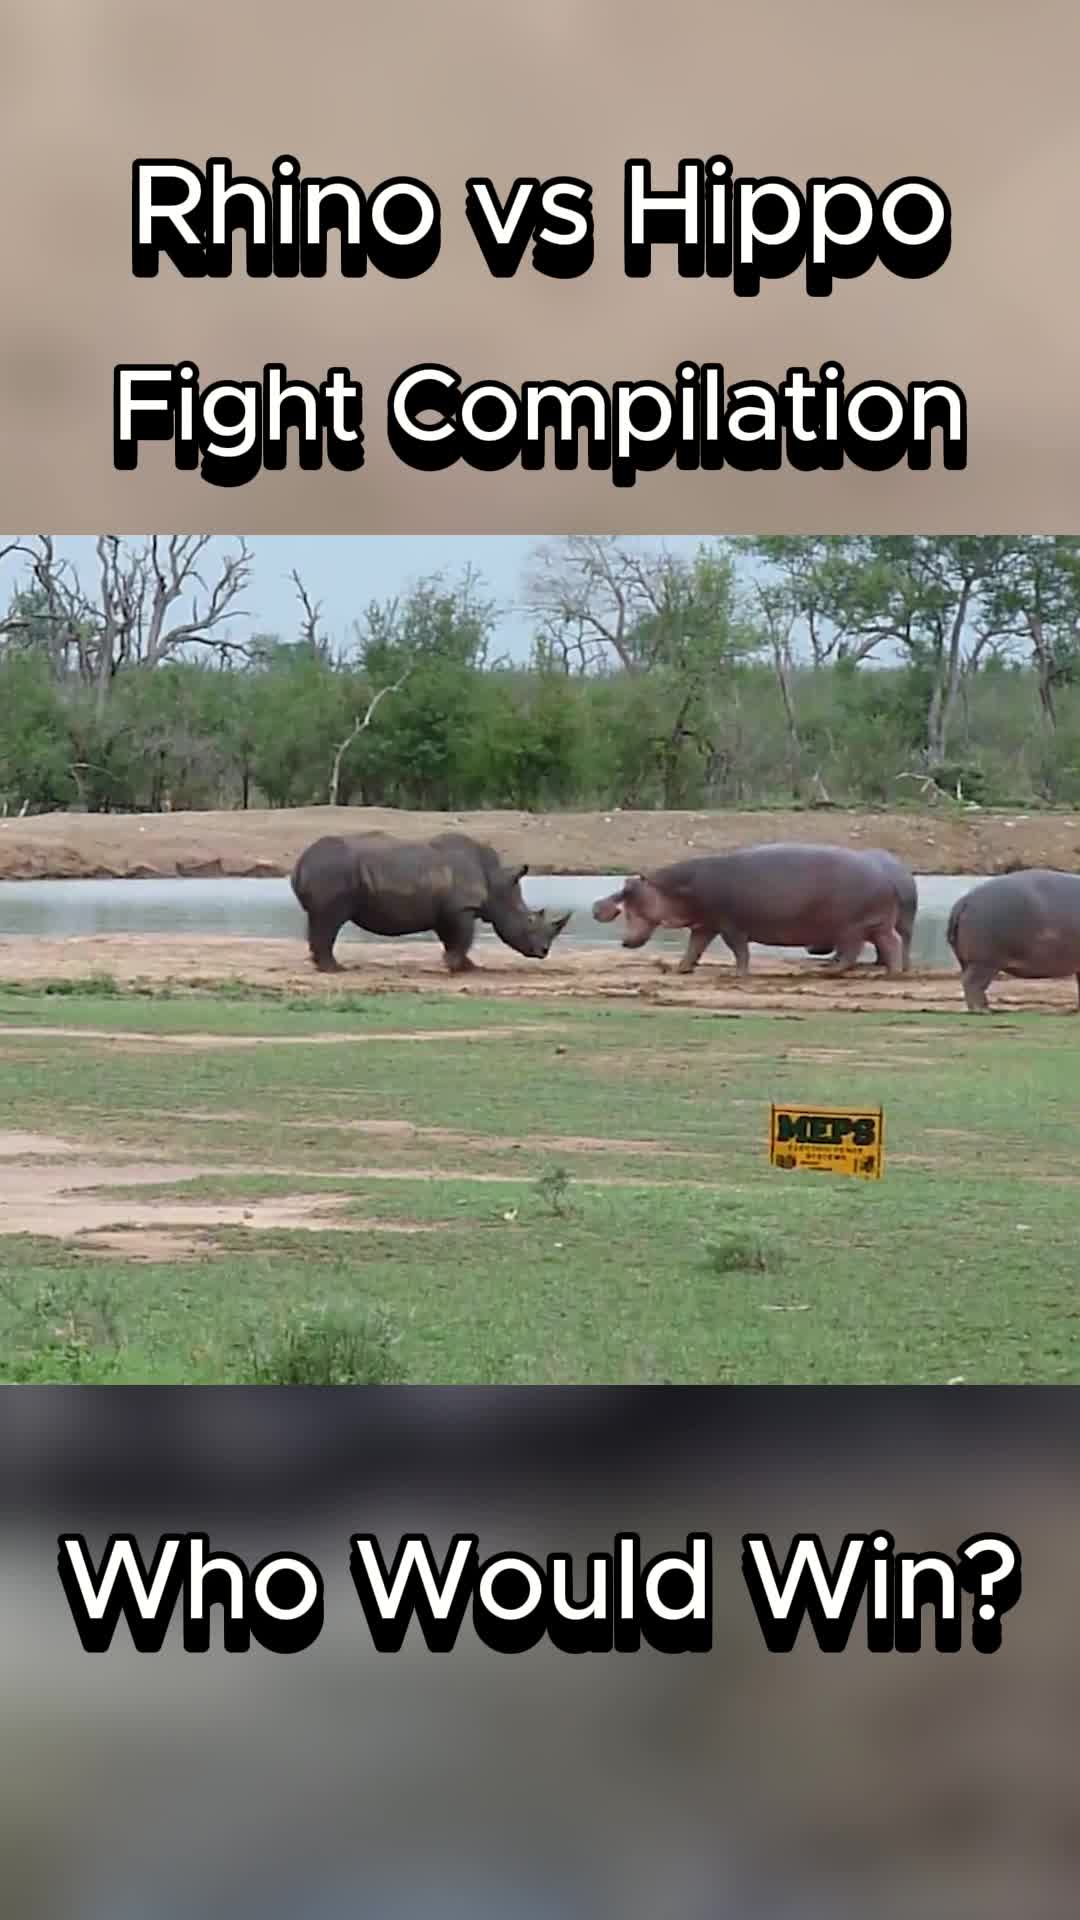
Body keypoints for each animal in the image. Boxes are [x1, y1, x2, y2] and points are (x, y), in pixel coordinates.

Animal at [290, 830, 571, 974]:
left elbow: (452, 939)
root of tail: (301, 862)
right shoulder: (462, 908)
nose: (544, 952)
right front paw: (454, 968)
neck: (497, 884)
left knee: (319, 919)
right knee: (330, 920)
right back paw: (337, 969)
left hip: (328, 870)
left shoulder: (447, 911)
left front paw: (468, 967)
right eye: (530, 920)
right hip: (332, 871)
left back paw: (325, 967)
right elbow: (462, 939)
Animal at [592, 842, 904, 977]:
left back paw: (829, 970)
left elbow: (739, 950)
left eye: (631, 897)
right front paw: (680, 968)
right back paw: (892, 973)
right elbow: (695, 947)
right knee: (891, 943)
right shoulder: (706, 924)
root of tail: (886, 875)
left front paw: (735, 974)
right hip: (874, 924)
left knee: (853, 952)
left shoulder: (730, 925)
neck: (675, 889)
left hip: (851, 926)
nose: (624, 942)